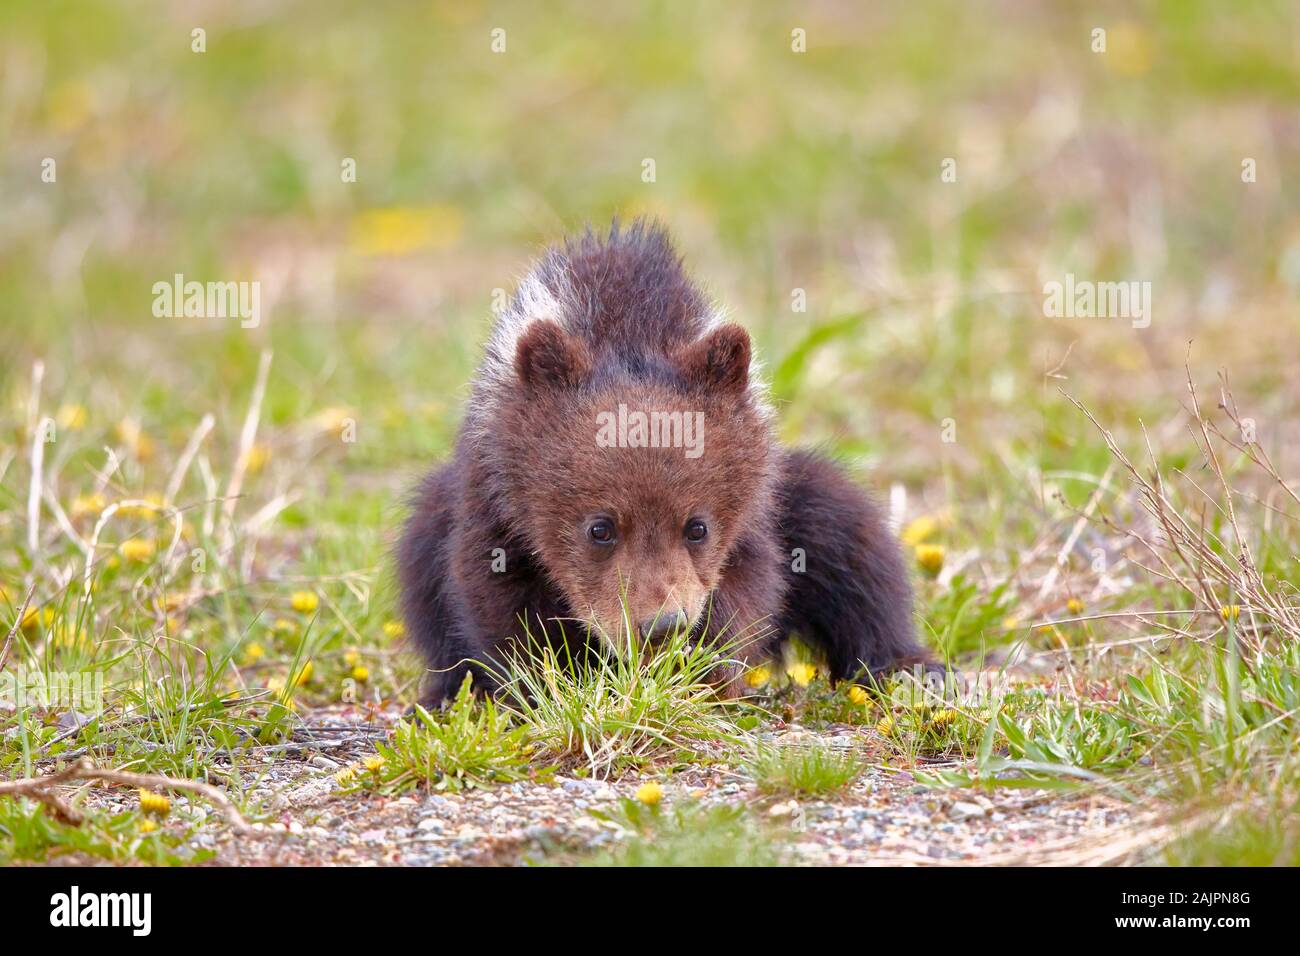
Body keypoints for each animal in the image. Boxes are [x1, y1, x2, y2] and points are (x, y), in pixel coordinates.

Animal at [397, 219, 931, 706]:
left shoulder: (753, 511)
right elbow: (495, 593)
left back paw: (908, 667)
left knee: (848, 534)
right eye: (600, 528)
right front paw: (549, 687)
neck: (623, 325)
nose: (660, 625)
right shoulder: (495, 498)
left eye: (697, 527)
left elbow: (752, 584)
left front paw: (706, 673)